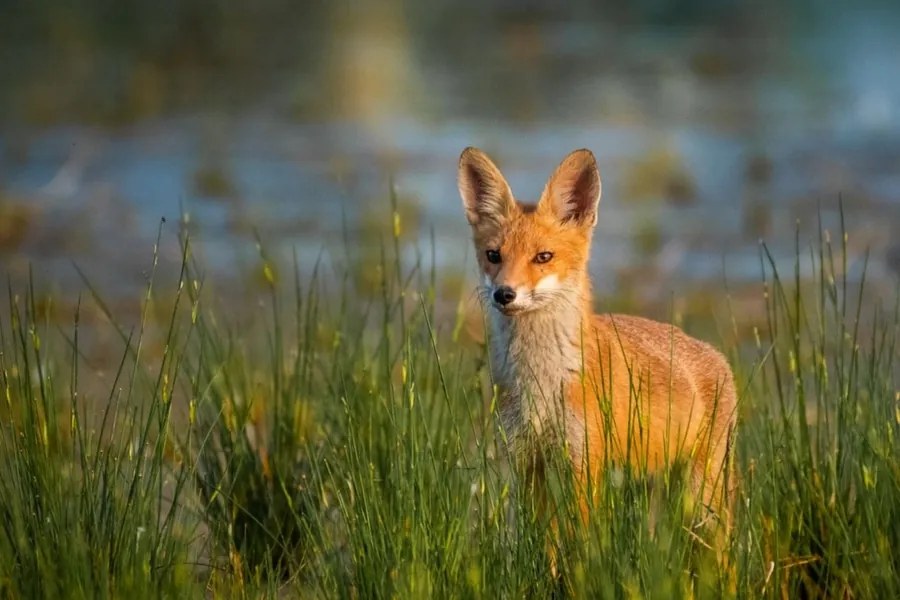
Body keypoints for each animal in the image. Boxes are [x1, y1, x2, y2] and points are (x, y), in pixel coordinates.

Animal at [458, 148, 740, 532]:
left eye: (543, 257)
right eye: (493, 256)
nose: (505, 294)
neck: (541, 382)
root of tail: (714, 353)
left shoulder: (583, 463)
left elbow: (578, 538)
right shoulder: (527, 461)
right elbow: (539, 540)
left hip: (704, 498)